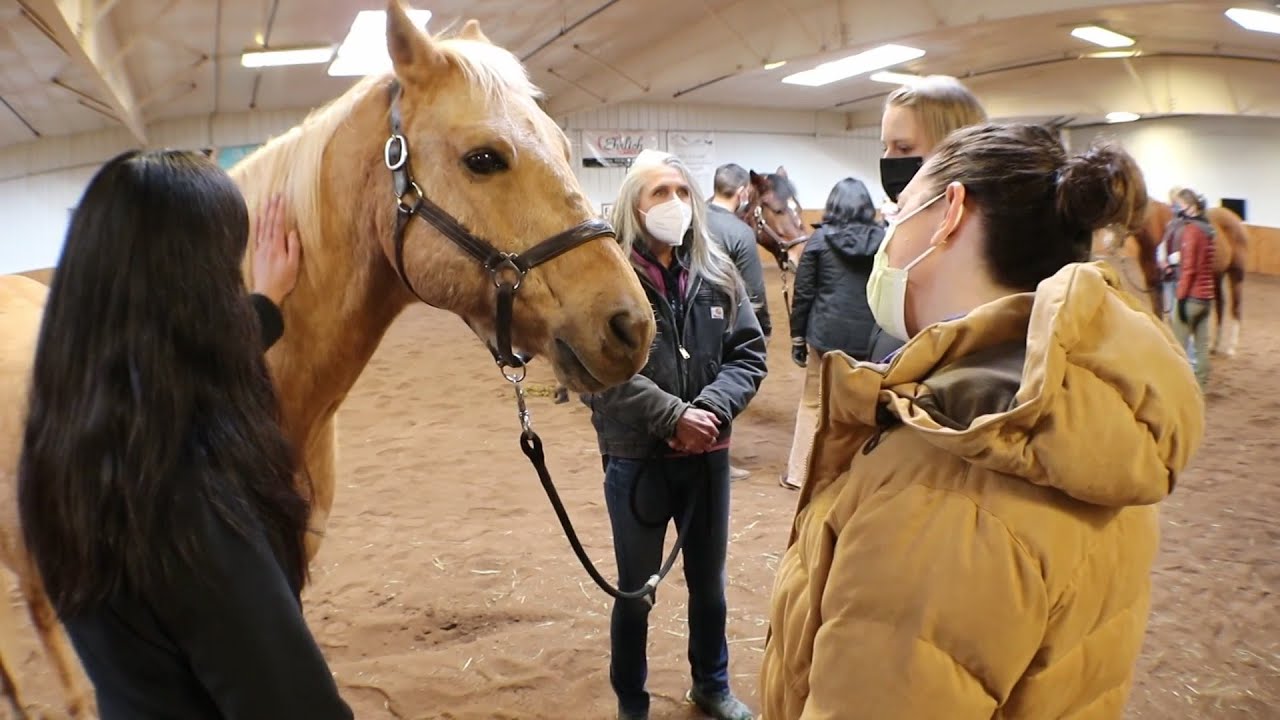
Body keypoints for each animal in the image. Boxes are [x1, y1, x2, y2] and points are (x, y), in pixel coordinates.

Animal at [1099, 198, 1248, 356]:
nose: (1107, 242)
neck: (1157, 228)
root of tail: (1236, 220)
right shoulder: (1152, 282)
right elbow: (1157, 313)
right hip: (1216, 275)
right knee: (1220, 305)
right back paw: (1213, 346)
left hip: (1236, 274)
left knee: (1236, 307)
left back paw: (1231, 348)